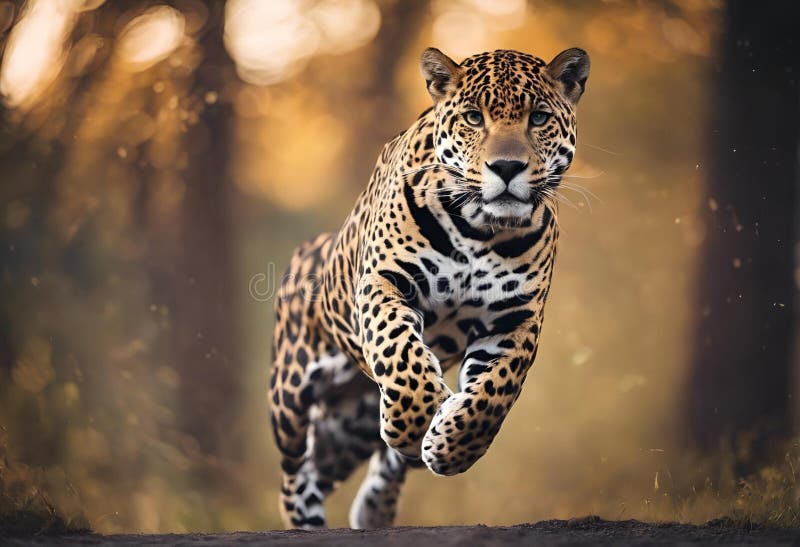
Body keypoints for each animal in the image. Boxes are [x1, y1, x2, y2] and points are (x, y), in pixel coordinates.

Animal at [269, 46, 590, 529]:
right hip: (290, 399)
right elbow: (400, 353)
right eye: (474, 118)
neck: (479, 228)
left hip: (349, 425)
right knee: (294, 467)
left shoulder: (515, 319)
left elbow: (493, 395)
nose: (507, 167)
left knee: (344, 464)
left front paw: (449, 444)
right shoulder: (385, 281)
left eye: (538, 118)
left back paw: (376, 507)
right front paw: (418, 421)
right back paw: (304, 517)